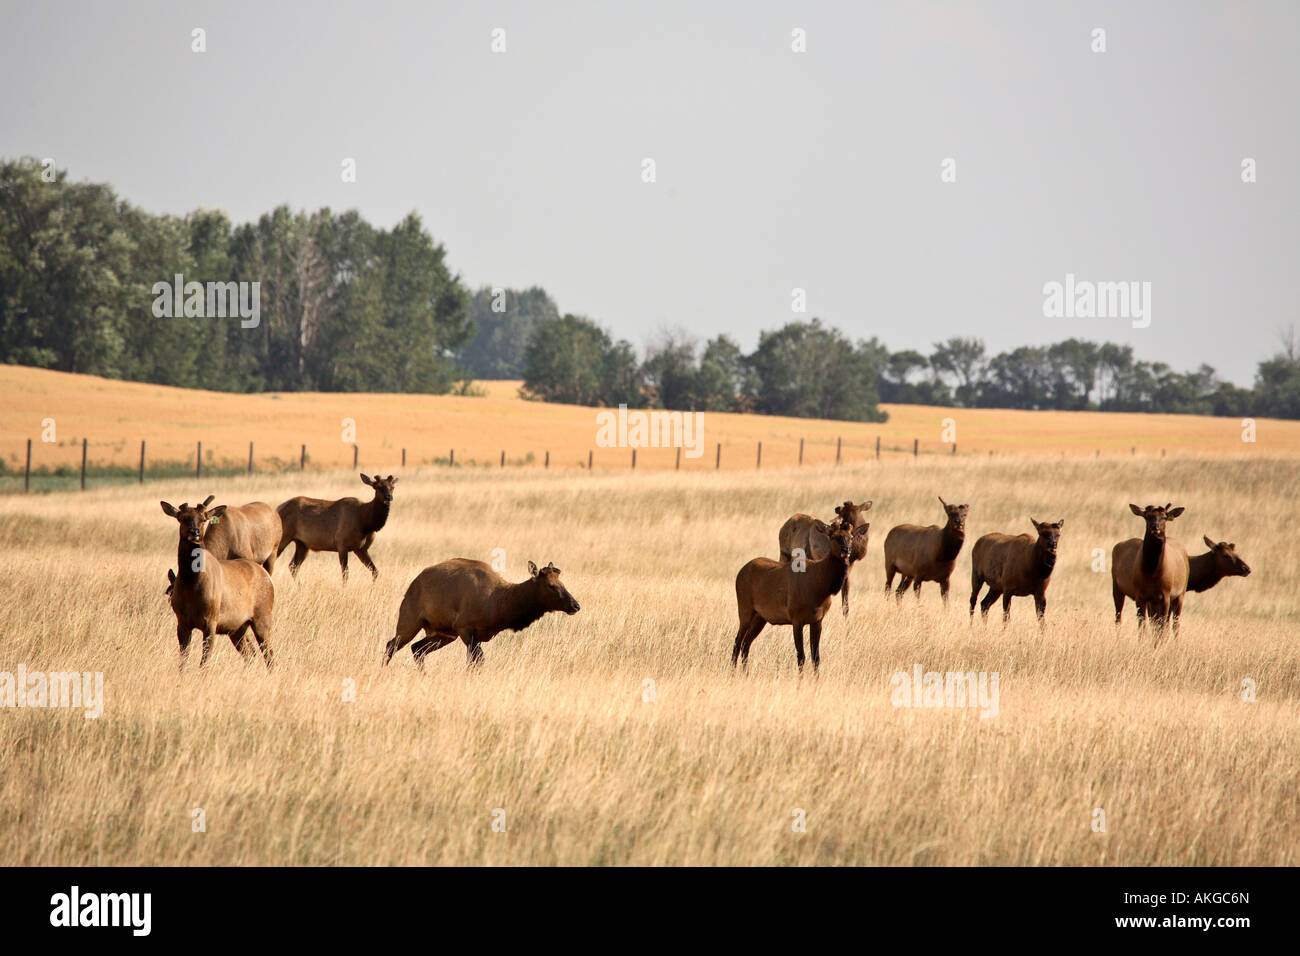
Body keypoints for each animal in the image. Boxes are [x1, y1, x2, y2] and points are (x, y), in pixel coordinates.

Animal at [161, 499, 274, 669]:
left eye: (203, 519)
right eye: (182, 518)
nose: (194, 532)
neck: (191, 586)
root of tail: (267, 577)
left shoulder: (211, 621)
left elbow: (204, 660)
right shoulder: (182, 622)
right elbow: (183, 660)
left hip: (263, 617)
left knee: (269, 655)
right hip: (238, 628)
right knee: (250, 654)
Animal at [383, 559, 581, 668]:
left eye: (562, 583)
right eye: (551, 586)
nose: (575, 605)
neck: (498, 606)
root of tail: (411, 586)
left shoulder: (466, 634)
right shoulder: (465, 628)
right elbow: (477, 661)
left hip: (443, 634)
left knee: (417, 649)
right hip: (409, 621)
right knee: (391, 645)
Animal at [732, 519, 869, 672]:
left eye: (851, 537)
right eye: (834, 536)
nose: (847, 550)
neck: (820, 590)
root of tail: (740, 572)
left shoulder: (817, 620)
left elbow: (816, 658)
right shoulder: (796, 617)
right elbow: (801, 656)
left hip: (760, 617)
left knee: (746, 644)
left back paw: (745, 673)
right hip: (744, 607)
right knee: (737, 641)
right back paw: (733, 672)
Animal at [1111, 503, 1190, 643]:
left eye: (1164, 517)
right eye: (1147, 516)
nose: (1155, 527)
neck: (1152, 574)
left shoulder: (1165, 594)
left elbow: (1162, 625)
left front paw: (1159, 644)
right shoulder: (1140, 595)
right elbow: (1142, 625)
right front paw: (1143, 643)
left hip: (1181, 593)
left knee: (1175, 623)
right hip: (1117, 587)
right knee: (1118, 616)